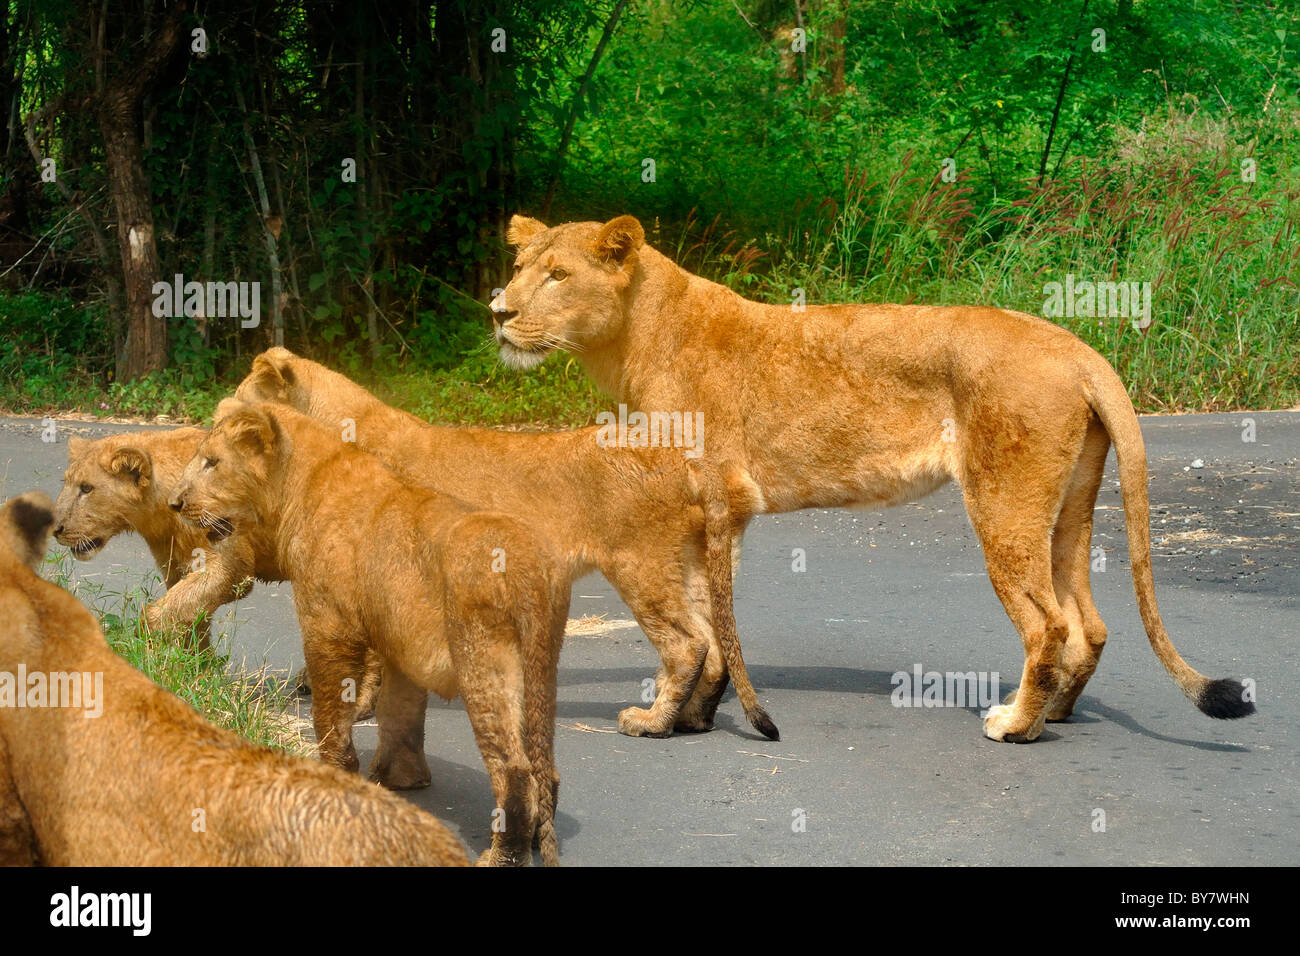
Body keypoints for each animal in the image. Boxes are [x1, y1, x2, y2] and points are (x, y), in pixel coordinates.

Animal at [51, 429, 382, 716]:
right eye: (66, 482)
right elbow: (190, 616)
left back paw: (360, 701)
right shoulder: (180, 565)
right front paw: (195, 672)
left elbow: (160, 614)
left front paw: (146, 659)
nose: (55, 528)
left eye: (87, 488)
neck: (158, 510)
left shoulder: (231, 567)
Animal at [169, 401, 570, 865]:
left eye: (212, 462)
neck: (298, 487)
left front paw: (336, 777)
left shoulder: (329, 625)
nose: (174, 502)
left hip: (482, 657)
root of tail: (528, 566)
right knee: (543, 762)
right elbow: (400, 713)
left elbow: (330, 711)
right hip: (540, 663)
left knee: (514, 767)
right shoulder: (399, 643)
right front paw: (398, 781)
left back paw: (501, 854)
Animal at [235, 347, 778, 742]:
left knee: (689, 644)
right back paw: (692, 719)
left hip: (638, 562)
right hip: (687, 561)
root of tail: (683, 456)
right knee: (715, 642)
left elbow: (367, 658)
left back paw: (652, 723)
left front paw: (359, 707)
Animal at [490, 213, 1256, 743]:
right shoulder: (712, 513)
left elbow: (706, 624)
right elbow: (710, 618)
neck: (634, 335)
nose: (498, 311)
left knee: (1048, 625)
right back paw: (1056, 714)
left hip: (1003, 503)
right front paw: (696, 714)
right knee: (1088, 624)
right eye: (521, 265)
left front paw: (669, 717)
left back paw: (1016, 726)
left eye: (557, 275)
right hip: (1068, 505)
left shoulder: (711, 500)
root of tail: (1078, 346)